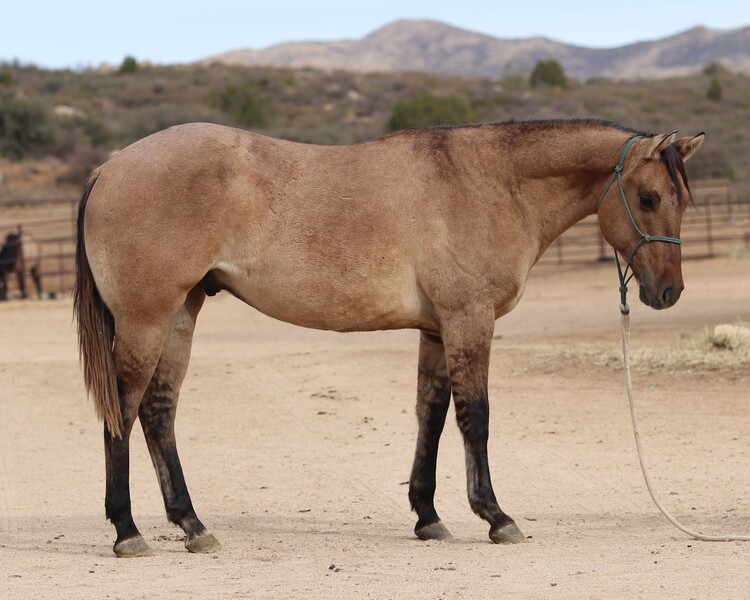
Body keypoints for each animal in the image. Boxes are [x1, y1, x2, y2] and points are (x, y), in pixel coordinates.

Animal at [74, 119, 704, 557]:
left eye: (683, 201)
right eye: (648, 198)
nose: (668, 291)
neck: (491, 182)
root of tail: (111, 167)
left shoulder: (436, 330)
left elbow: (432, 415)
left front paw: (428, 517)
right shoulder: (469, 320)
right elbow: (475, 415)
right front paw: (496, 517)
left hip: (181, 313)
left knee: (158, 412)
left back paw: (193, 526)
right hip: (147, 319)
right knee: (122, 412)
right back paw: (128, 531)